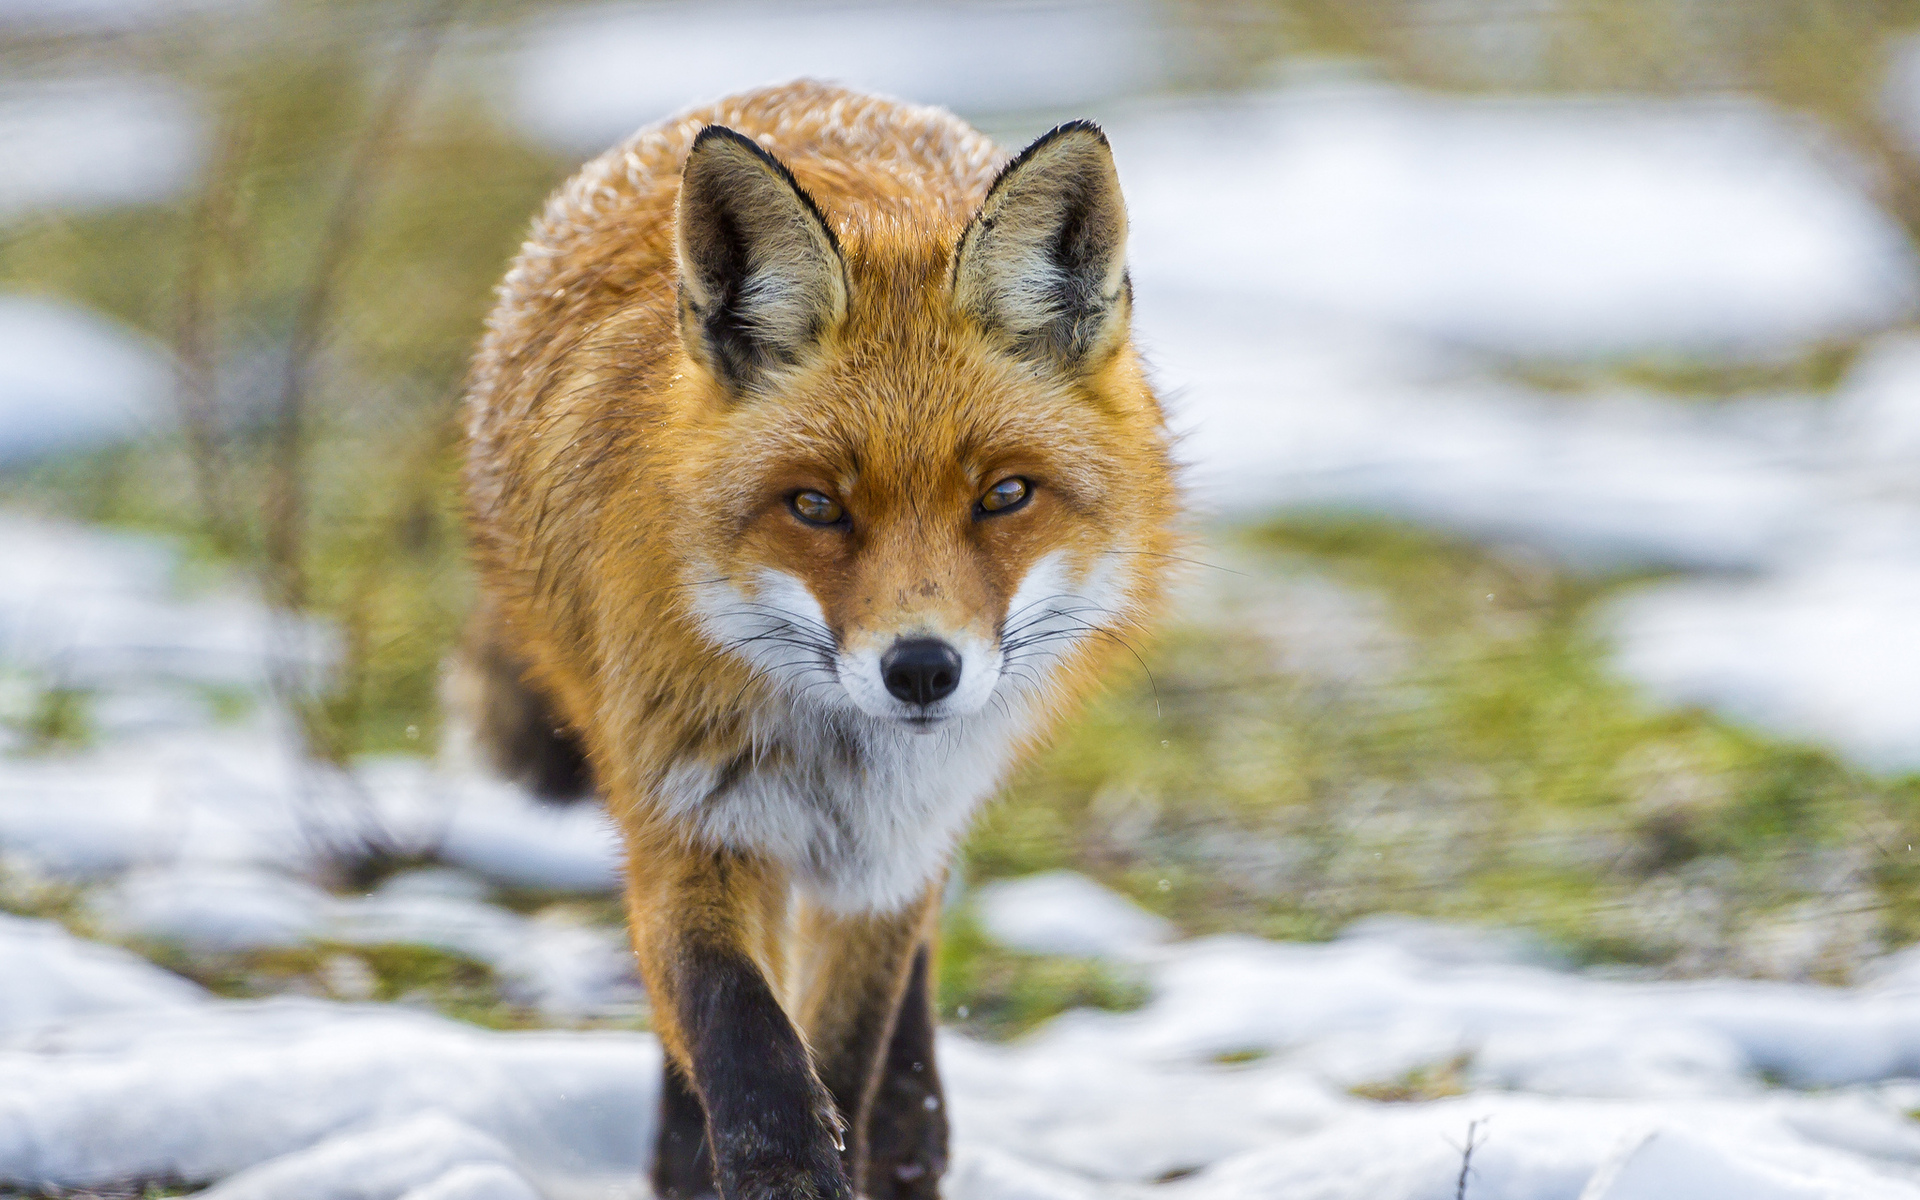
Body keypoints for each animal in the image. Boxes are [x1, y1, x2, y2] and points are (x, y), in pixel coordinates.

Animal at [459, 80, 1181, 1200]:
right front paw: (773, 1163)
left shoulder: (886, 862)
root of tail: (806, 91)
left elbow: (847, 1050)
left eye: (1004, 495)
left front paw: (864, 1138)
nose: (922, 669)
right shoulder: (683, 823)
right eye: (815, 506)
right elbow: (744, 1046)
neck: (834, 756)